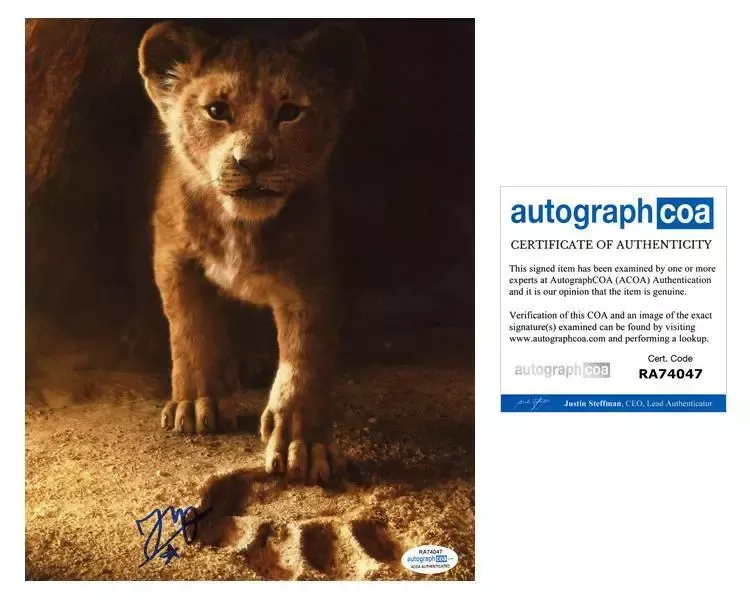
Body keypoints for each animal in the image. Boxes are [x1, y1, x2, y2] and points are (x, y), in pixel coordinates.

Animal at [137, 21, 365, 484]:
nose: (253, 161)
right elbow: (191, 327)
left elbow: (305, 357)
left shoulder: (310, 274)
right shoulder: (172, 253)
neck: (240, 225)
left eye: (290, 111)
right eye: (217, 110)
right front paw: (198, 403)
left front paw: (303, 444)